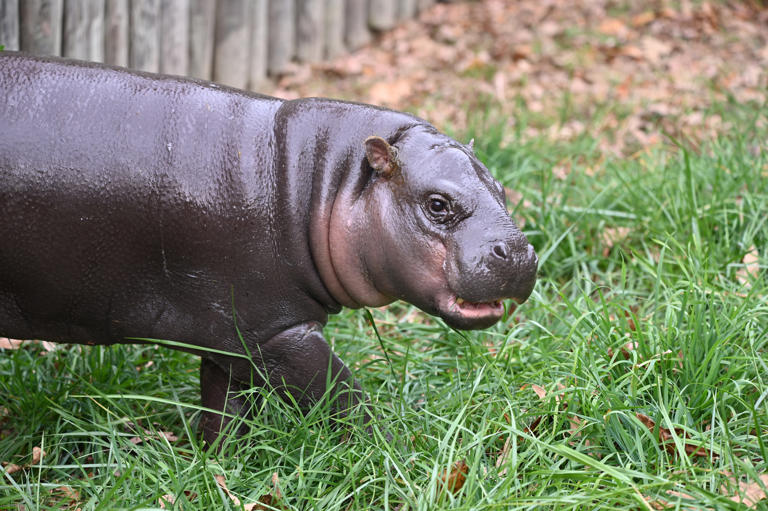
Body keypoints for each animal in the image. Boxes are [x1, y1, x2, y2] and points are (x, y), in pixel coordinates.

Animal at [0, 53, 537, 444]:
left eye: (502, 189)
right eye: (437, 204)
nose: (521, 253)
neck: (317, 183)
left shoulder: (230, 330)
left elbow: (226, 405)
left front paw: (219, 462)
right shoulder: (277, 332)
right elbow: (339, 395)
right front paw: (390, 449)